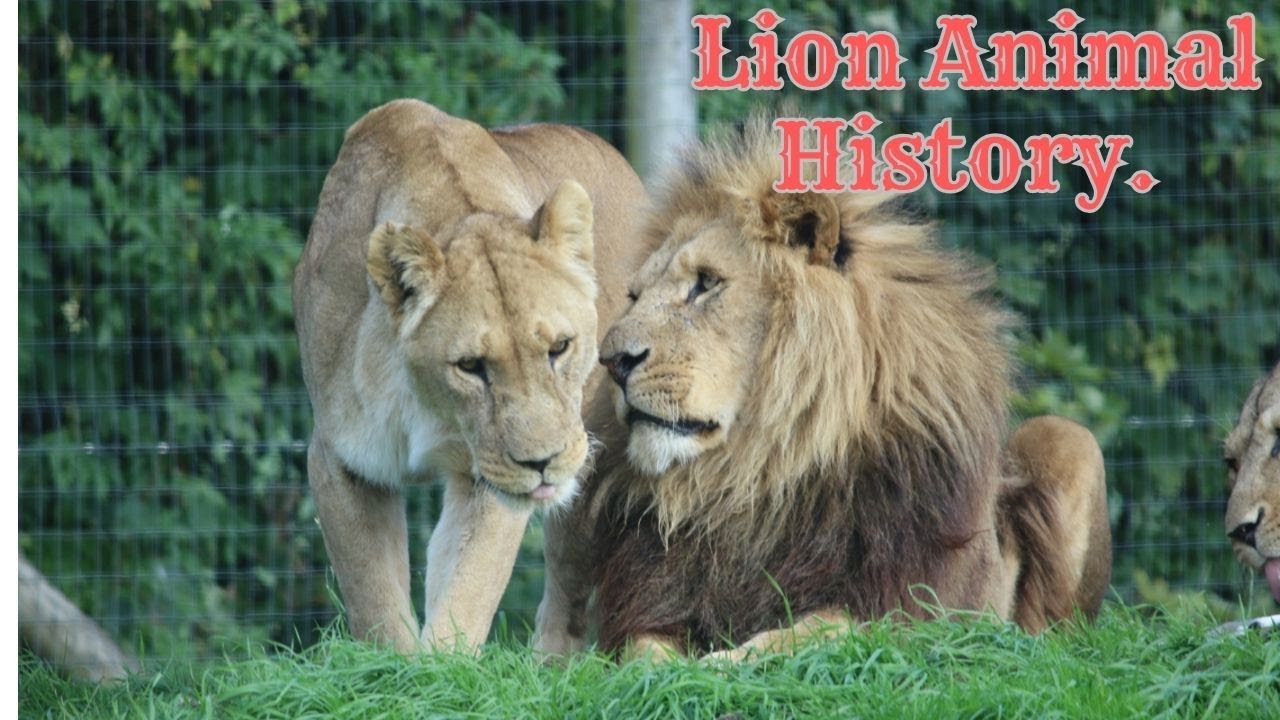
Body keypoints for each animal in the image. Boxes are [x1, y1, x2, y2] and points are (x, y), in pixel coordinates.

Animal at [293, 99, 649, 653]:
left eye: (559, 348)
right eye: (470, 367)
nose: (541, 462)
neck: (426, 402)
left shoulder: (488, 477)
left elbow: (467, 590)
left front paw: (440, 664)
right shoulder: (342, 458)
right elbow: (375, 601)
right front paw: (394, 667)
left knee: (567, 588)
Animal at [534, 118, 1113, 660]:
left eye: (706, 283)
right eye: (634, 295)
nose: (612, 361)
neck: (754, 476)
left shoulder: (909, 608)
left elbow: (801, 636)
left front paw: (720, 663)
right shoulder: (657, 597)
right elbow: (644, 655)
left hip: (1067, 439)